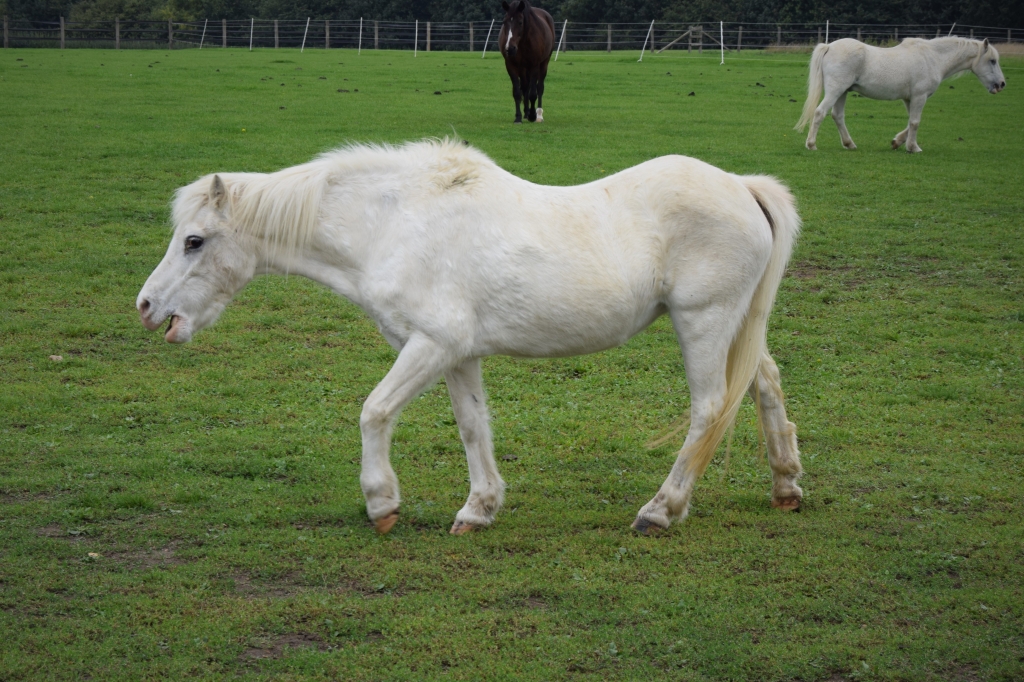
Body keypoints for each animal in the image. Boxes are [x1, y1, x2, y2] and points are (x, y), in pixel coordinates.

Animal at [137, 139, 805, 536]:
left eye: (194, 240)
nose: (147, 307)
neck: (395, 224)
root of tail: (743, 187)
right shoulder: (457, 355)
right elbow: (472, 426)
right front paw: (479, 508)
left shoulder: (430, 345)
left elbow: (374, 412)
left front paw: (382, 504)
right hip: (737, 324)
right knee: (765, 386)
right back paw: (786, 484)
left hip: (703, 322)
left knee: (709, 408)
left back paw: (660, 511)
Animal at [796, 37, 1006, 152]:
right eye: (992, 61)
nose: (1001, 84)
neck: (933, 58)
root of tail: (829, 46)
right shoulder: (920, 96)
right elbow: (915, 122)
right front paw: (913, 148)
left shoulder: (909, 99)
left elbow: (910, 122)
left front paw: (897, 142)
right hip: (835, 90)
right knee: (819, 113)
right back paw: (811, 144)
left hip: (842, 92)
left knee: (837, 116)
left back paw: (849, 144)